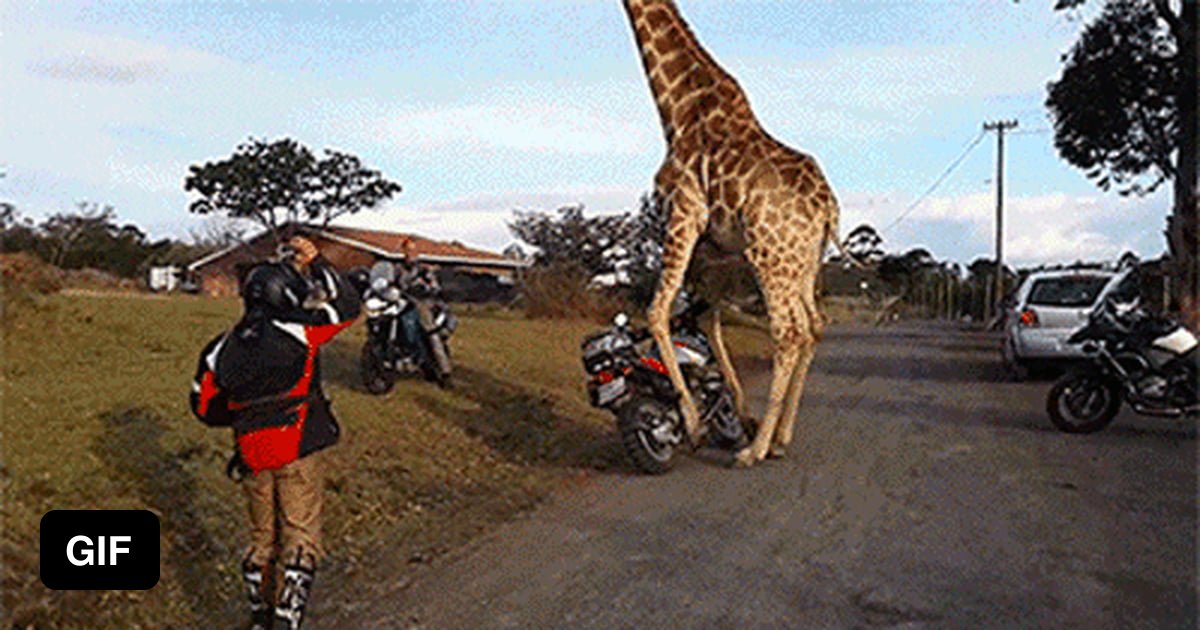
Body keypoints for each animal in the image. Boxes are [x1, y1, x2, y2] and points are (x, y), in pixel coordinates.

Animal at [622, 0, 845, 466]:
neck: (677, 107)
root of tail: (828, 209)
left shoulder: (684, 213)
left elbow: (658, 311)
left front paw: (691, 424)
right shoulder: (713, 246)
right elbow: (707, 319)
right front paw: (739, 415)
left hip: (768, 256)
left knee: (788, 332)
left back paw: (754, 450)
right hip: (800, 262)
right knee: (812, 325)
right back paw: (778, 437)